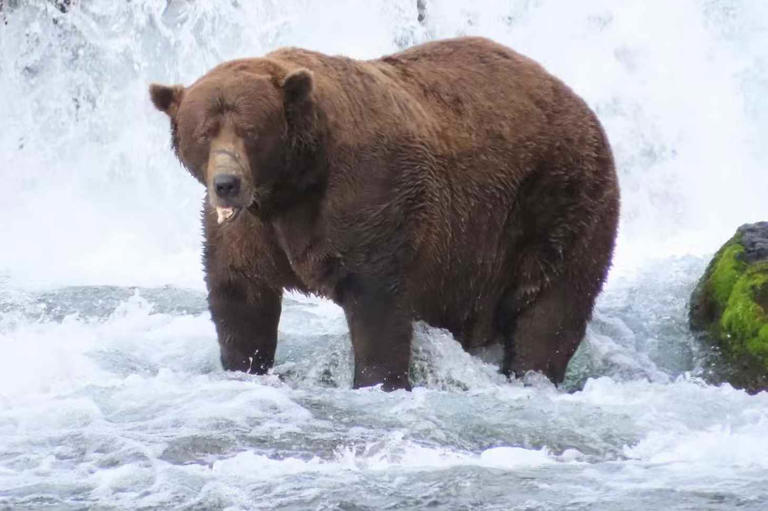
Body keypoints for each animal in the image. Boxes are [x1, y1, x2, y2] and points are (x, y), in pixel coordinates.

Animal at [149, 36, 619, 391]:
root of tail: (576, 100)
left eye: (250, 131)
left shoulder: (369, 195)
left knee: (553, 307)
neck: (292, 185)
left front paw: (378, 380)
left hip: (556, 200)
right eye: (204, 132)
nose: (227, 183)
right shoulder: (250, 229)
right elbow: (240, 294)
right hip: (472, 256)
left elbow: (377, 302)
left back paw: (532, 373)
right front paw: (245, 366)